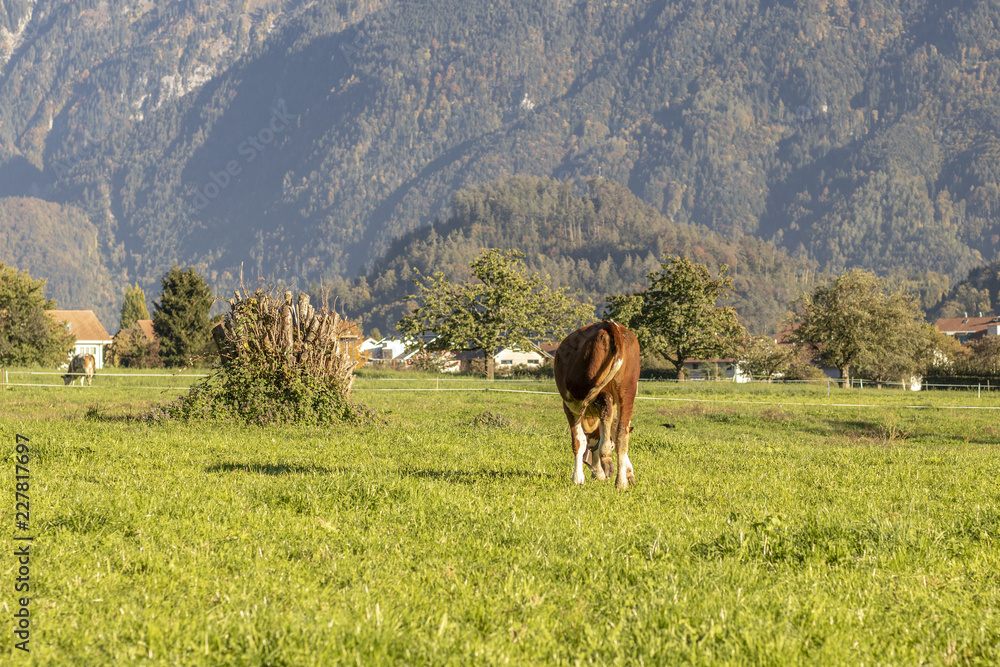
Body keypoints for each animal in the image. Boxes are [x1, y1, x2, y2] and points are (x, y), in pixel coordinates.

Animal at [554, 320, 641, 490]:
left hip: (588, 389)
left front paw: (578, 477)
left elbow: (579, 441)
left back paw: (606, 458)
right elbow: (614, 433)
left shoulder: (569, 408)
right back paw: (620, 482)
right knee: (622, 432)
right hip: (627, 391)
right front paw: (628, 472)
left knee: (605, 405)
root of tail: (611, 324)